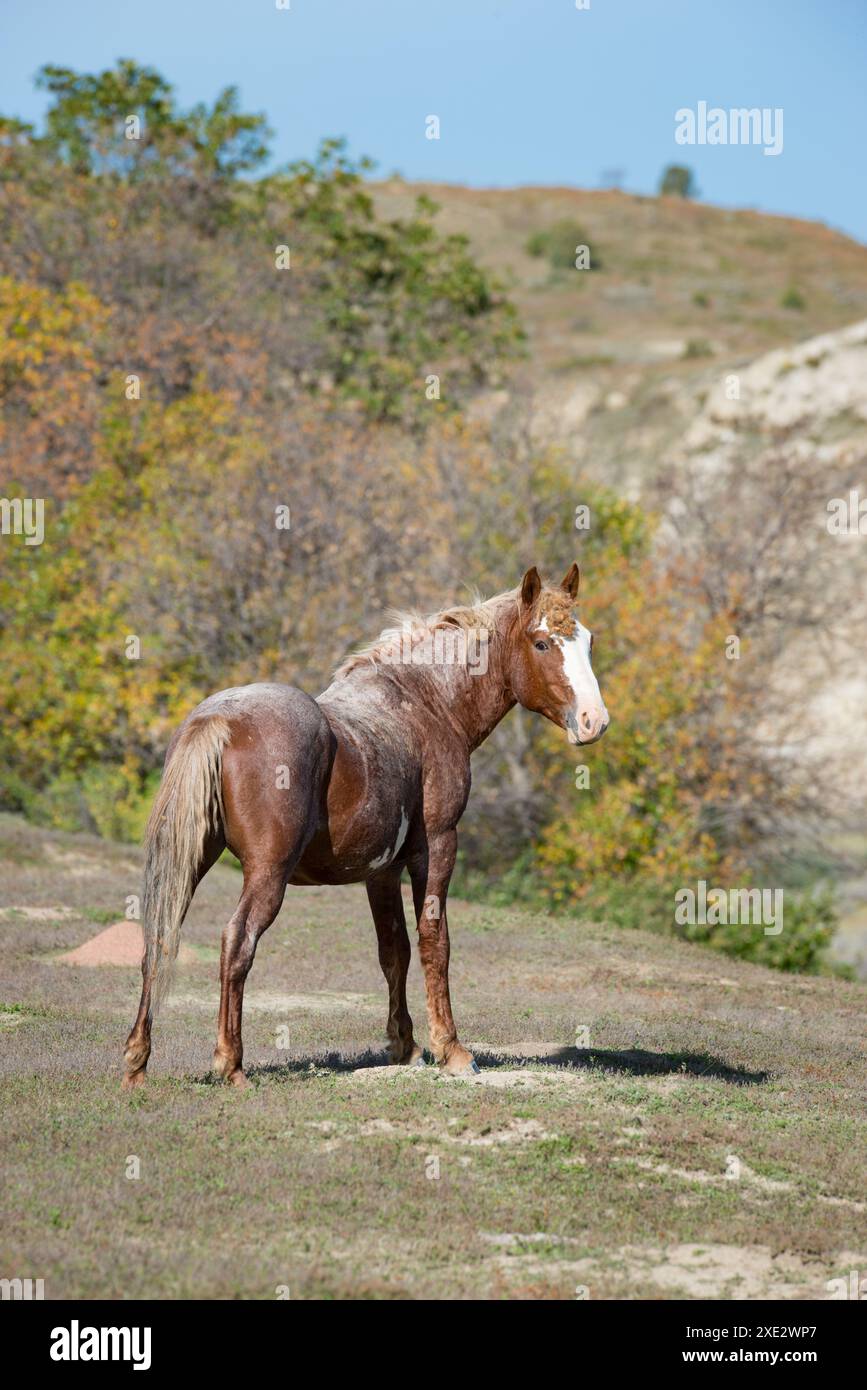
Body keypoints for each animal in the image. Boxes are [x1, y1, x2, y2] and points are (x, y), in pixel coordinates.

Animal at [122, 564, 609, 1089]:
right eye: (541, 643)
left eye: (588, 640)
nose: (594, 720)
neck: (426, 704)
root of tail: (218, 718)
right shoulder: (437, 848)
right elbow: (435, 942)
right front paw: (451, 1049)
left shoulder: (382, 872)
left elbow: (394, 951)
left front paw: (405, 1045)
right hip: (267, 875)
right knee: (237, 943)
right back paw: (230, 1064)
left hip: (190, 862)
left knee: (158, 938)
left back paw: (137, 1063)